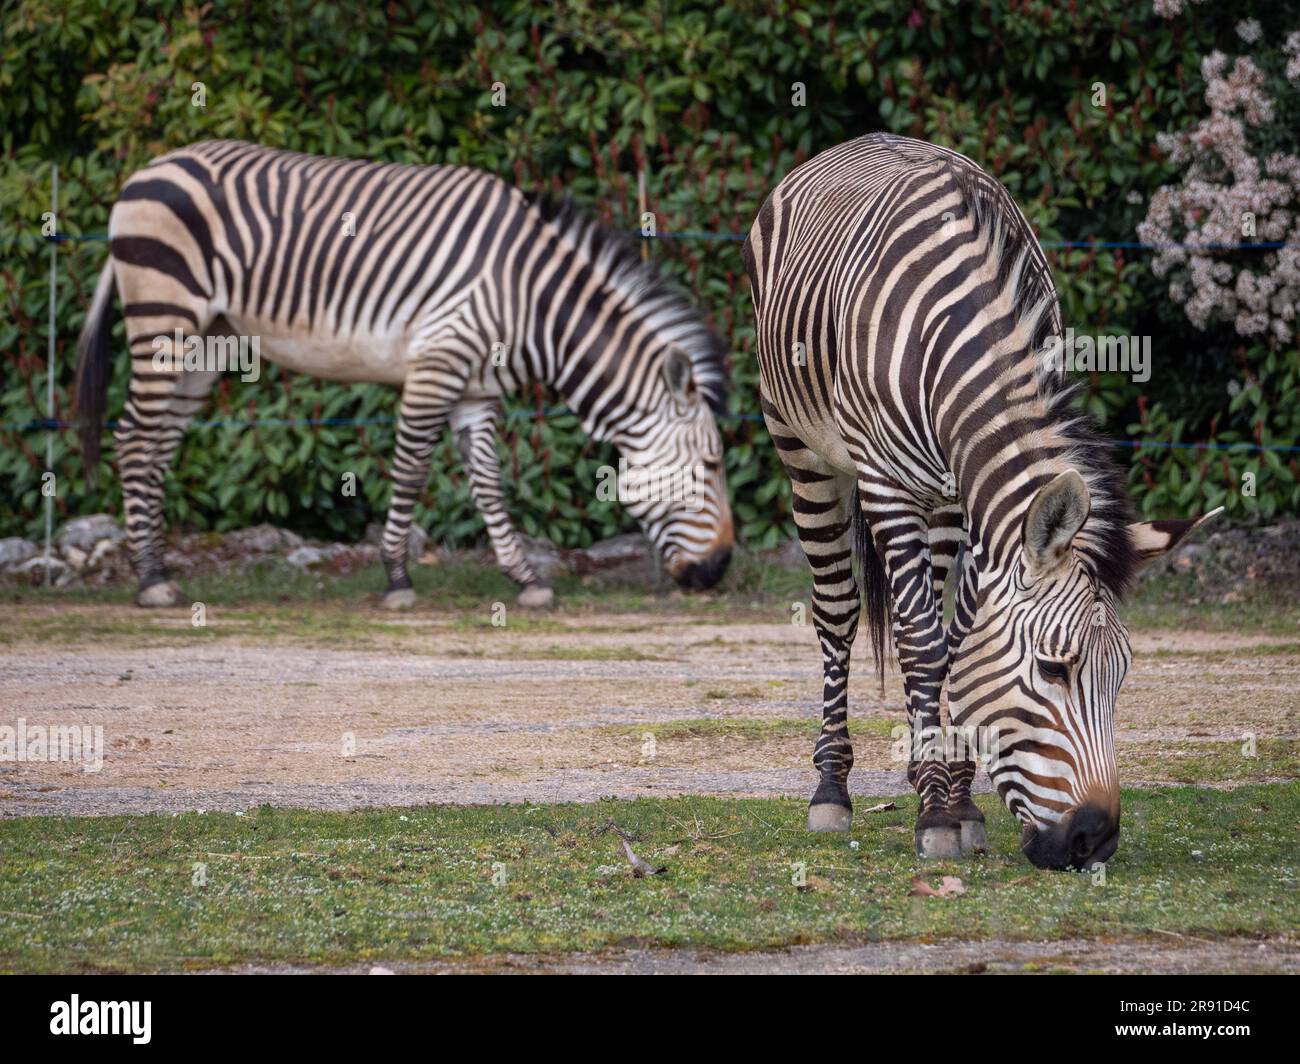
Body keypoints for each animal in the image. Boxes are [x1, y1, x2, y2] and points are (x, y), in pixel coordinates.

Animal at [74, 140, 733, 609]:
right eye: (708, 465)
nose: (720, 570)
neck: (530, 299)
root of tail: (146, 170)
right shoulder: (437, 364)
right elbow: (412, 470)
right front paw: (396, 578)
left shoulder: (475, 389)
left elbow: (488, 483)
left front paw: (525, 579)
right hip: (165, 317)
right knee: (134, 438)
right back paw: (151, 581)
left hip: (208, 340)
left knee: (160, 443)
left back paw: (156, 566)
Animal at [744, 133, 1217, 869]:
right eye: (1053, 668)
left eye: (1123, 675)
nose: (1095, 840)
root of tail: (858, 141)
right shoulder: (888, 484)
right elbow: (921, 642)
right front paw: (937, 815)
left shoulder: (974, 505)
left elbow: (958, 639)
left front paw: (959, 800)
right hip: (803, 450)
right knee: (839, 613)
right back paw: (832, 790)